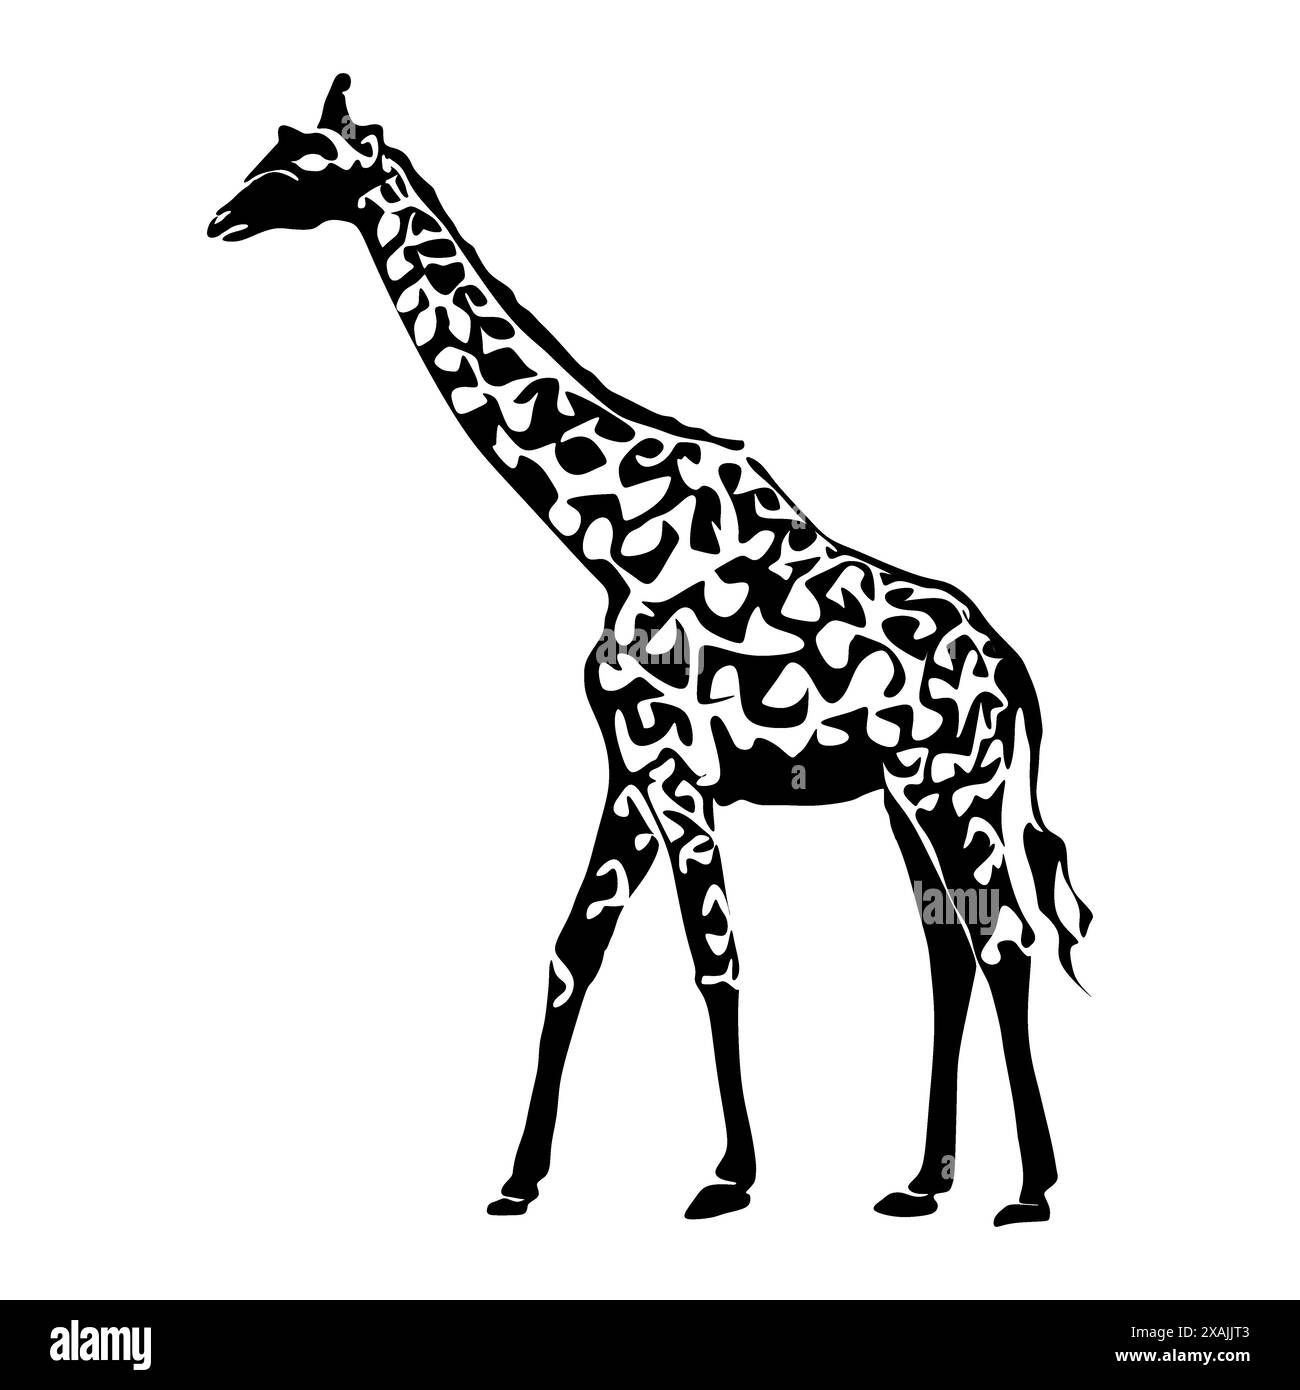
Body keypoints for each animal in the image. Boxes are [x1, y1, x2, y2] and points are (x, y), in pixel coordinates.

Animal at [209, 76, 1091, 1224]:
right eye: (273, 145)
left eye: (303, 161)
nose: (221, 216)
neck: (610, 537)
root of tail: (1014, 670)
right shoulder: (631, 773)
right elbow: (567, 955)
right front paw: (519, 1178)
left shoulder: (677, 773)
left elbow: (716, 959)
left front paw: (730, 1174)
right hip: (905, 793)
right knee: (948, 946)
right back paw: (920, 1181)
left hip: (956, 785)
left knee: (1005, 941)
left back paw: (1029, 1189)